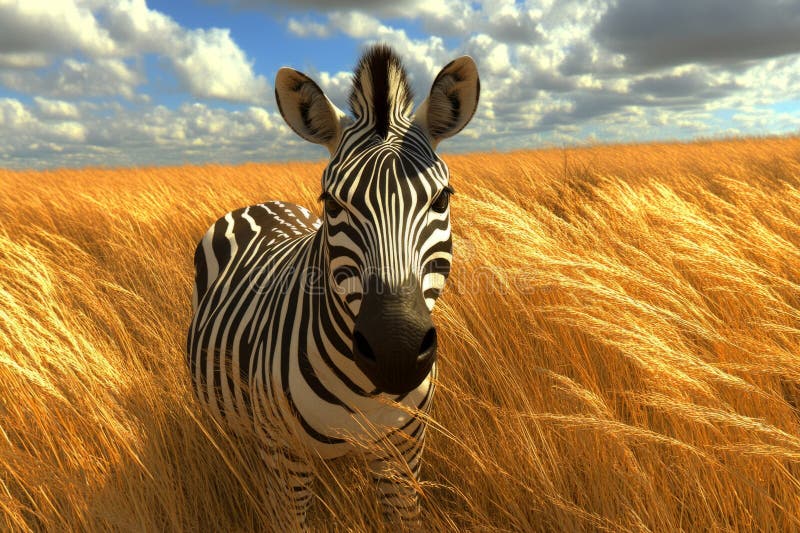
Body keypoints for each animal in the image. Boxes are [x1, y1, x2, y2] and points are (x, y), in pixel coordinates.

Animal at [187, 44, 479, 526]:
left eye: (442, 198)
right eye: (332, 202)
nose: (397, 352)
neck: (367, 390)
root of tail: (262, 204)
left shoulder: (404, 453)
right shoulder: (285, 458)